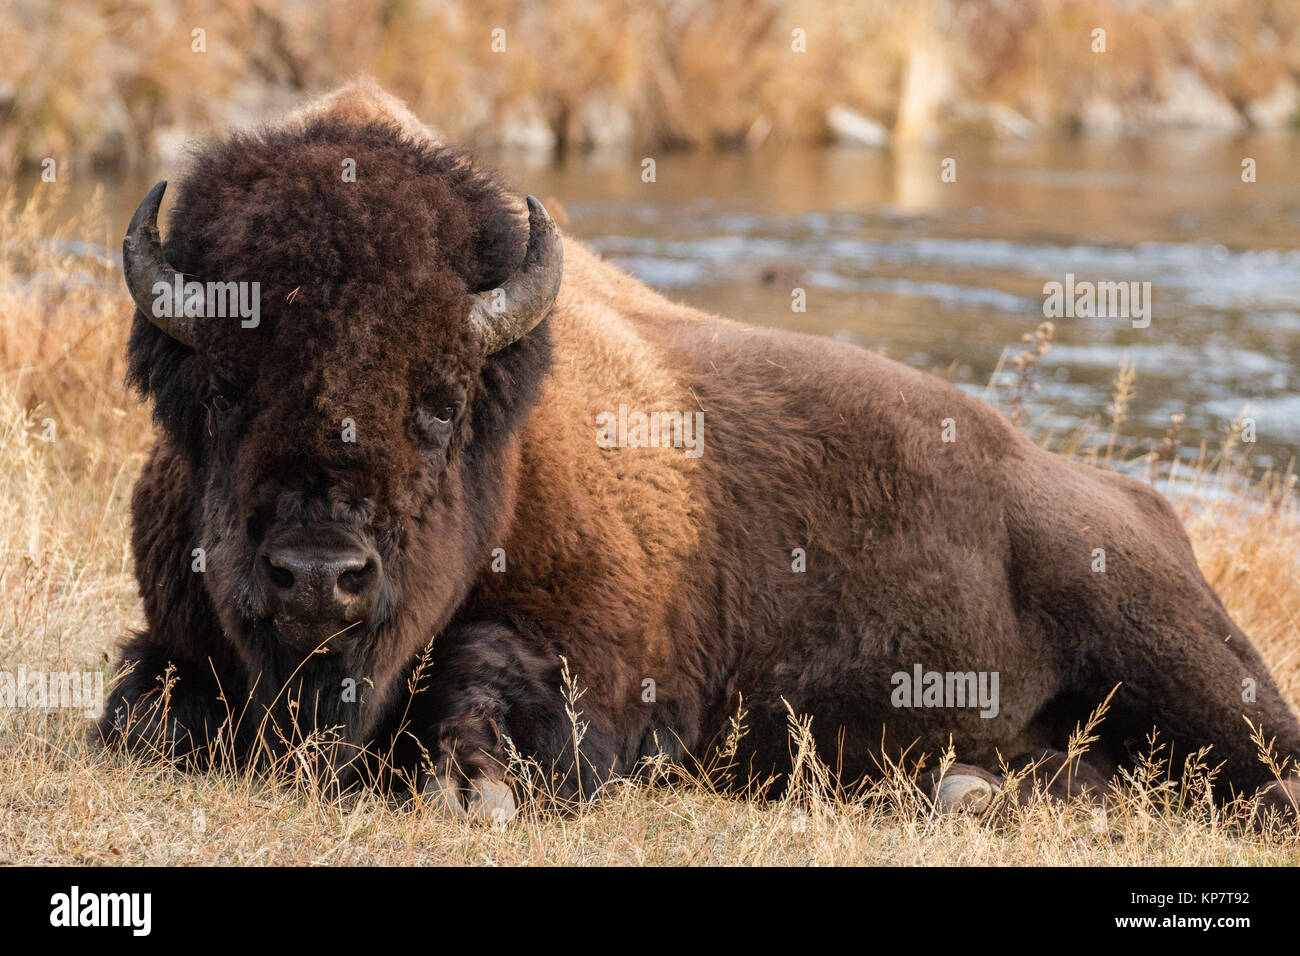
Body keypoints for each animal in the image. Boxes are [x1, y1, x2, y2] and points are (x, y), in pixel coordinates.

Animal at [101, 81, 1300, 824]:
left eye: (438, 402)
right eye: (221, 387)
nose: (319, 575)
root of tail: (1138, 501)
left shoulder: (610, 670)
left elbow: (490, 683)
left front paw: (473, 787)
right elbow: (138, 716)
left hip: (1193, 667)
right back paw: (969, 790)